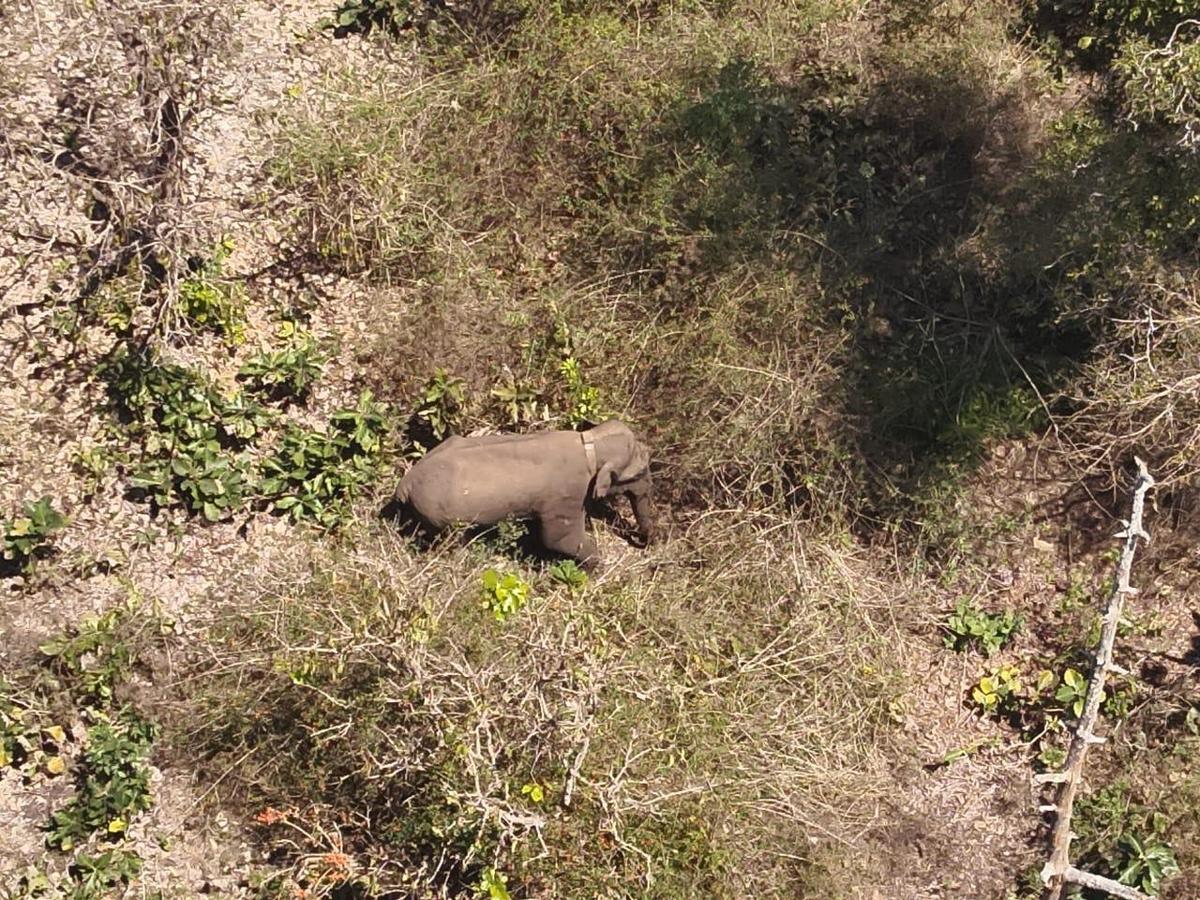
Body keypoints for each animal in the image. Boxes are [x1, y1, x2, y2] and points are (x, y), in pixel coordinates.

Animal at [389, 419, 656, 569]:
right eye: (641, 470)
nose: (643, 542)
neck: (590, 442)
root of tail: (405, 484)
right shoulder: (567, 494)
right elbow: (558, 538)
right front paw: (596, 568)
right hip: (441, 517)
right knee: (453, 542)